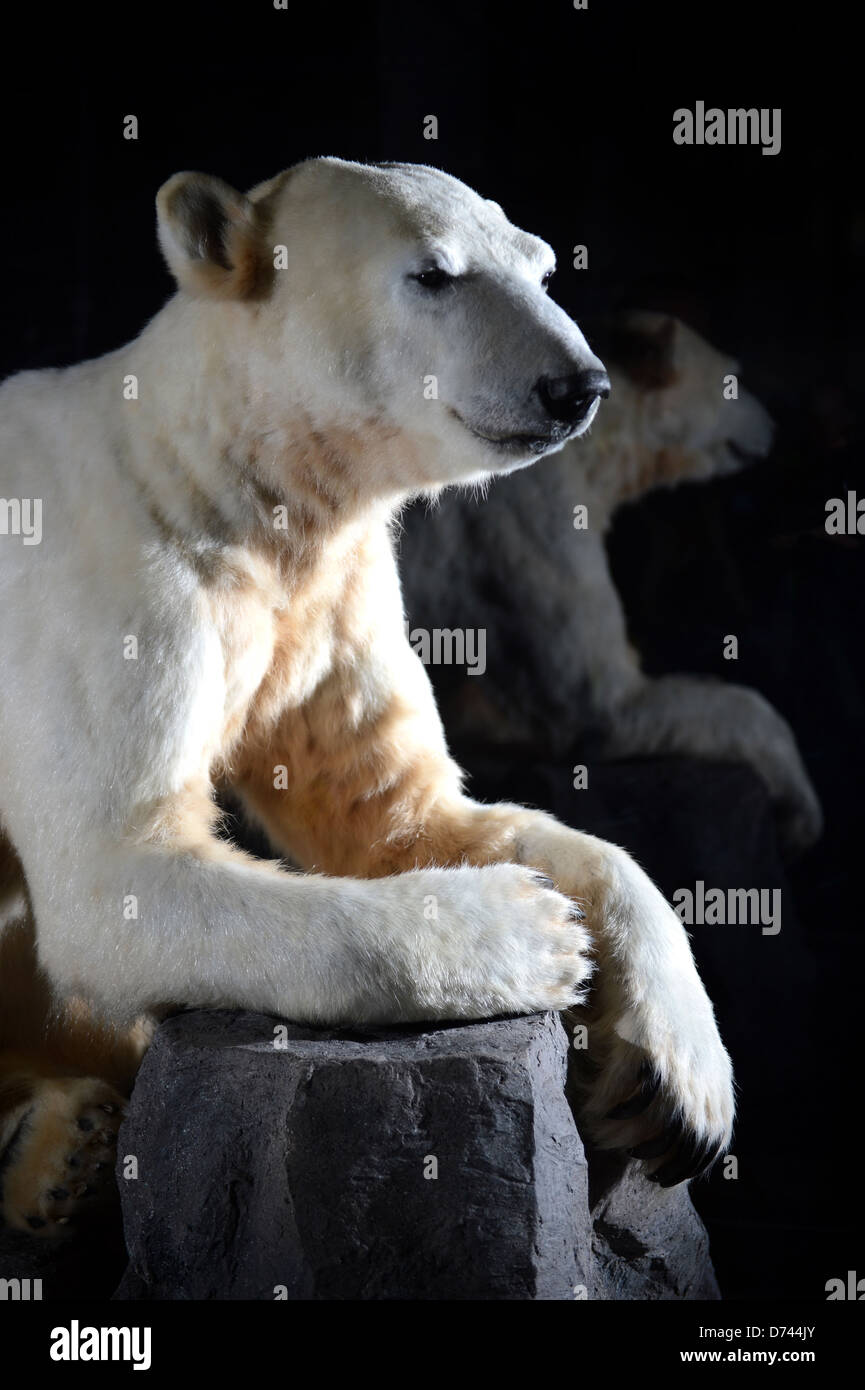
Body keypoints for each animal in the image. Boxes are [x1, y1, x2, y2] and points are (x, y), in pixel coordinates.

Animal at [0, 158, 733, 1238]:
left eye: (540, 264)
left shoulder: (327, 599)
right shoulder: (110, 592)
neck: (204, 466)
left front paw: (677, 1088)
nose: (577, 385)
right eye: (433, 273)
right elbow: (117, 872)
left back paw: (65, 1151)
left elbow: (406, 812)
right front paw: (532, 927)